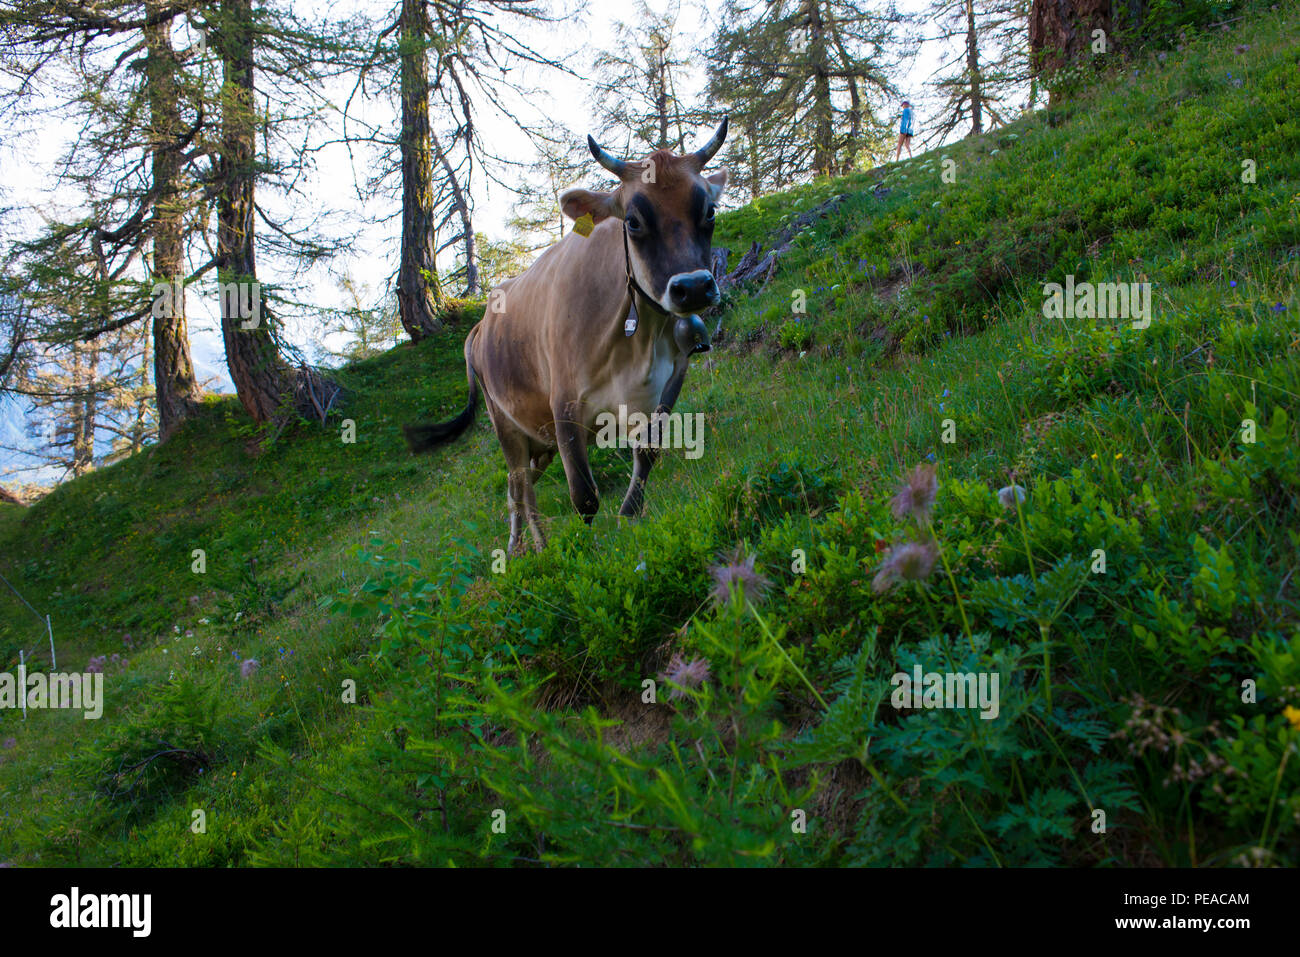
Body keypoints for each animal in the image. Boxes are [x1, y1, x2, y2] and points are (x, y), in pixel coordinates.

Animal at [403, 120, 730, 554]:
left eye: (709, 211)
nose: (692, 288)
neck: (637, 342)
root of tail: (478, 327)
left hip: (537, 440)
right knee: (521, 487)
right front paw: (587, 556)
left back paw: (521, 548)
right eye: (633, 221)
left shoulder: (669, 383)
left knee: (517, 488)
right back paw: (534, 549)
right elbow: (584, 496)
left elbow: (647, 457)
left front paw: (629, 518)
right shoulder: (565, 404)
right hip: (505, 424)